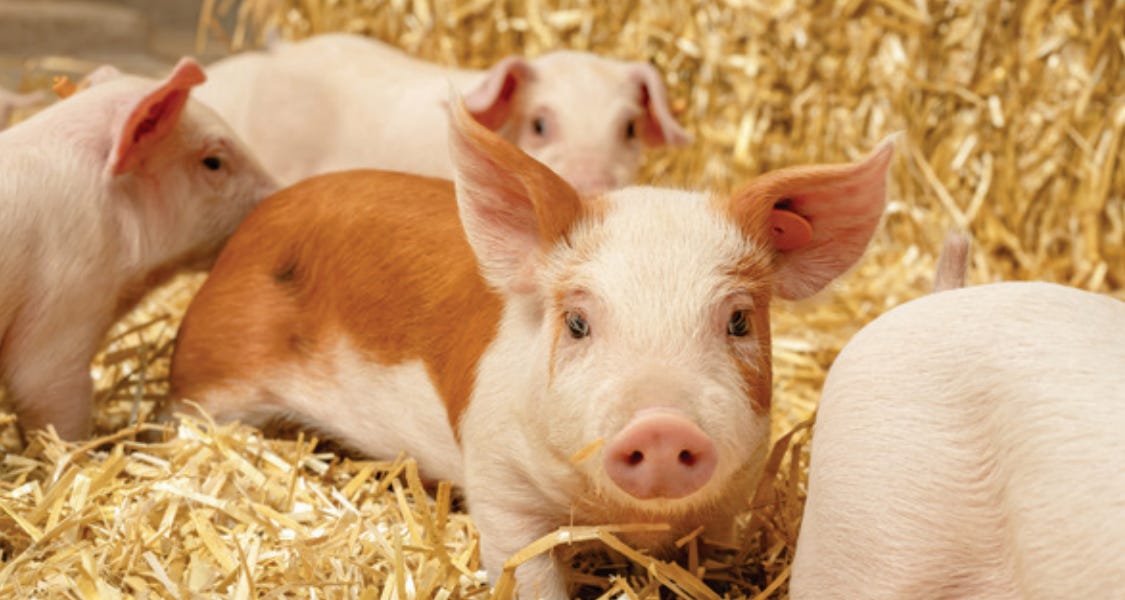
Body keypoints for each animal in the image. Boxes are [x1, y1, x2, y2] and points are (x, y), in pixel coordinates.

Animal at [167, 95, 895, 596]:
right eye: (576, 322)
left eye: (739, 320)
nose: (660, 427)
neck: (616, 518)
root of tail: (252, 226)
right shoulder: (499, 486)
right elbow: (528, 570)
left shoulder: (727, 503)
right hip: (211, 379)